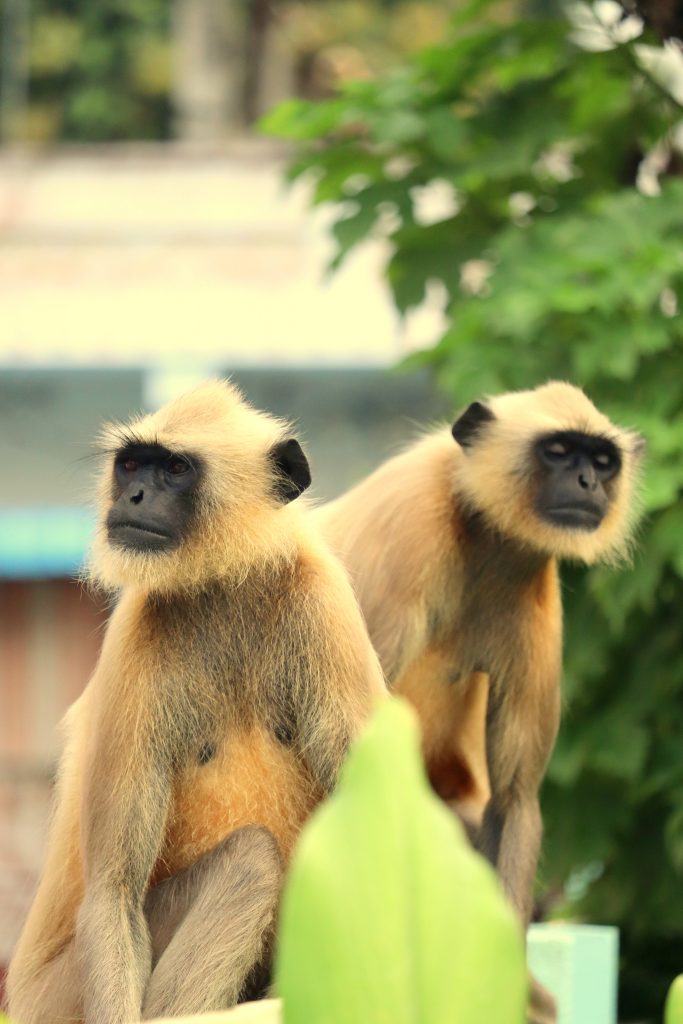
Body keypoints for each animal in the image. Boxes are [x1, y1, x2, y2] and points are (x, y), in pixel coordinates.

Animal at [6, 380, 387, 1024]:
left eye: (175, 470)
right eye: (132, 465)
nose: (133, 495)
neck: (223, 585)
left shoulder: (324, 603)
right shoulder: (135, 634)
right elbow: (112, 894)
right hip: (57, 997)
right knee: (252, 861)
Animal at [314, 381, 644, 1023]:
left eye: (602, 461)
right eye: (559, 451)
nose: (586, 483)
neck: (478, 530)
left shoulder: (534, 587)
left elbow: (514, 799)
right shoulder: (405, 533)